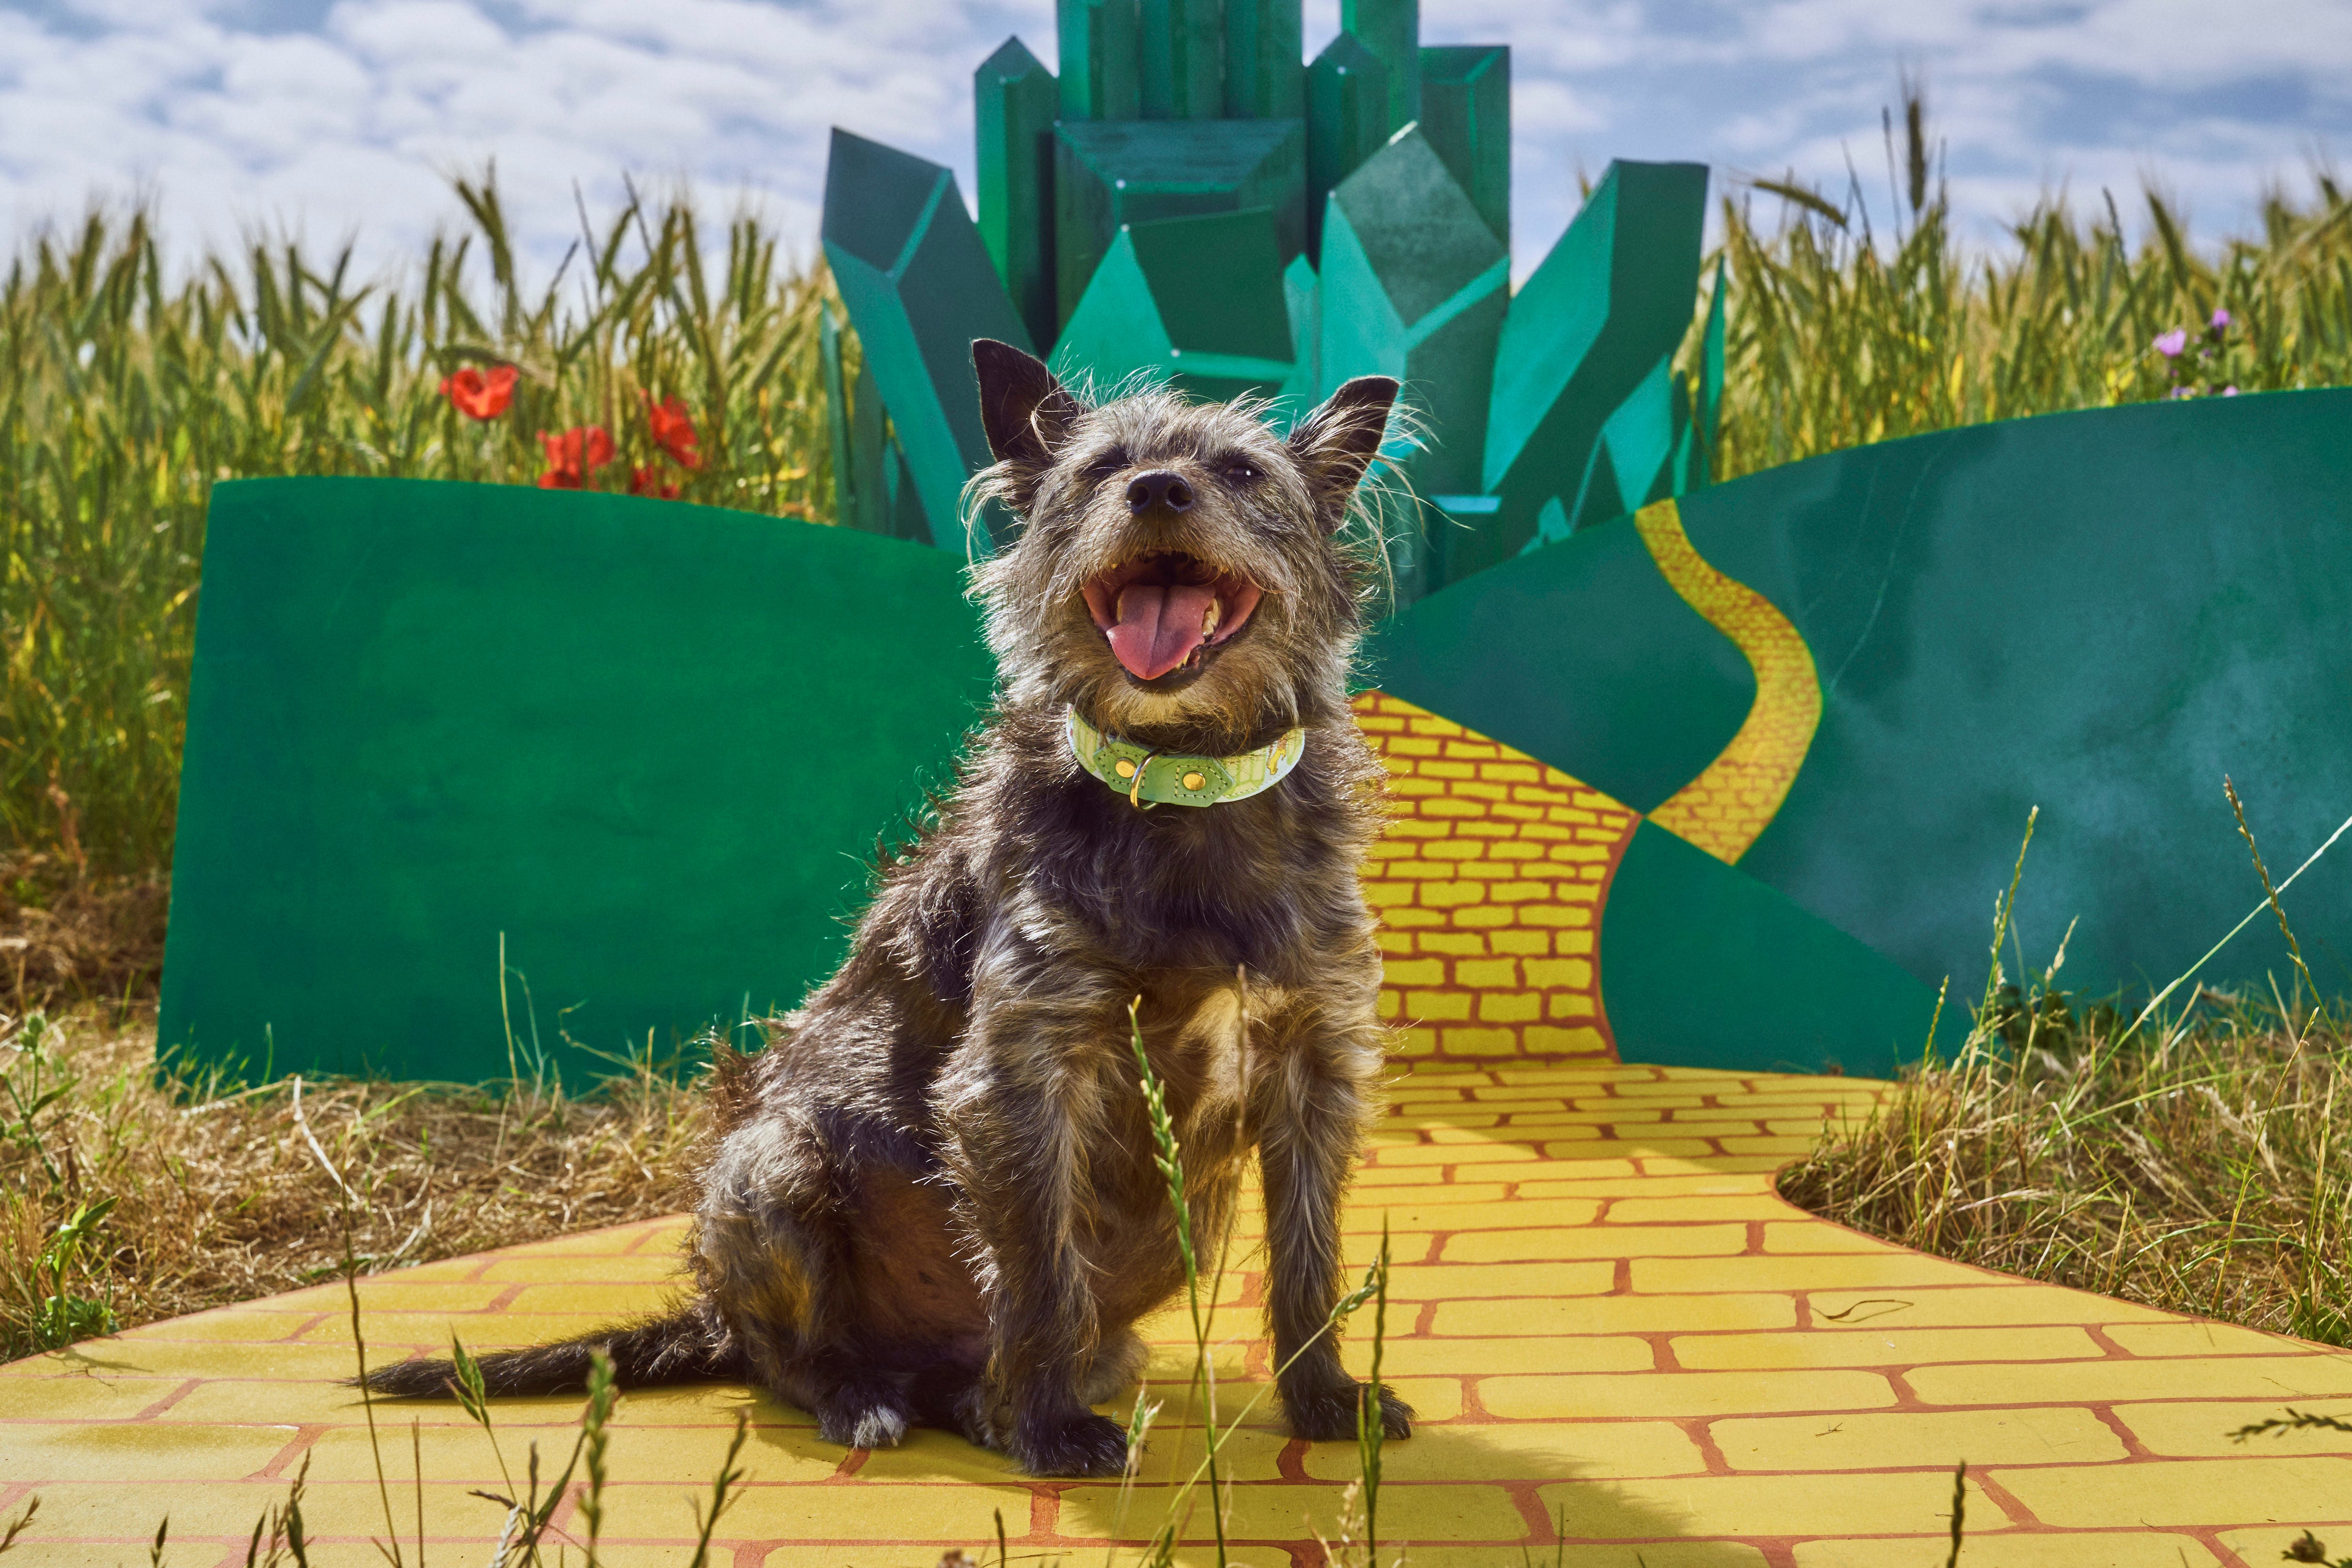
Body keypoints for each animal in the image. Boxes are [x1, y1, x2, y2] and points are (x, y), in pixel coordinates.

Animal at [369, 340, 1412, 1478]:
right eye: (1100, 469)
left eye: (1239, 472)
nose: (1156, 491)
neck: (1181, 789)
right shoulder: (1020, 1076)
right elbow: (1040, 1272)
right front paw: (1051, 1427)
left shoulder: (1316, 1066)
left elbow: (1309, 1260)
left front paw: (1324, 1396)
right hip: (769, 1166)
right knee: (790, 1359)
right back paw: (877, 1395)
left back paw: (985, 1402)